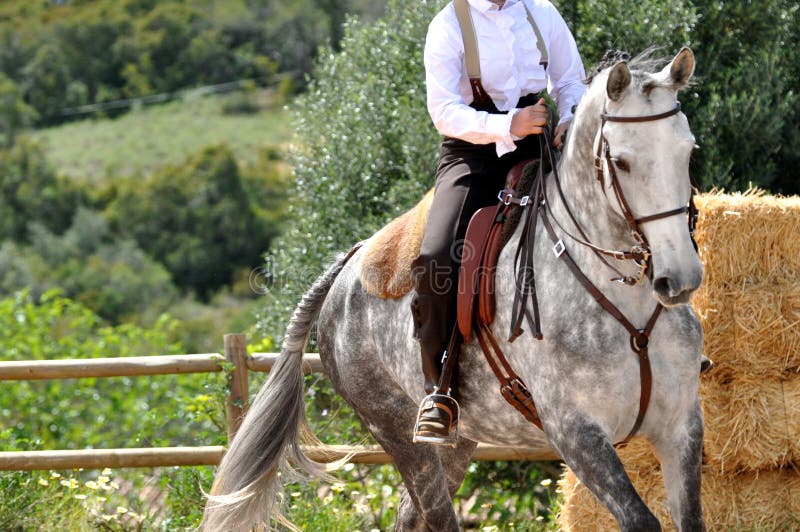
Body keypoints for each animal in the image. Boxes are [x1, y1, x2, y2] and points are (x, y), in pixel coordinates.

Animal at [202, 47, 705, 531]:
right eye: (621, 161)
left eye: (688, 152)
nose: (679, 278)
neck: (624, 305)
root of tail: (348, 266)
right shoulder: (578, 433)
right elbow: (641, 520)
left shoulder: (681, 426)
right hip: (399, 433)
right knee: (436, 513)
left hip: (460, 440)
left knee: (411, 515)